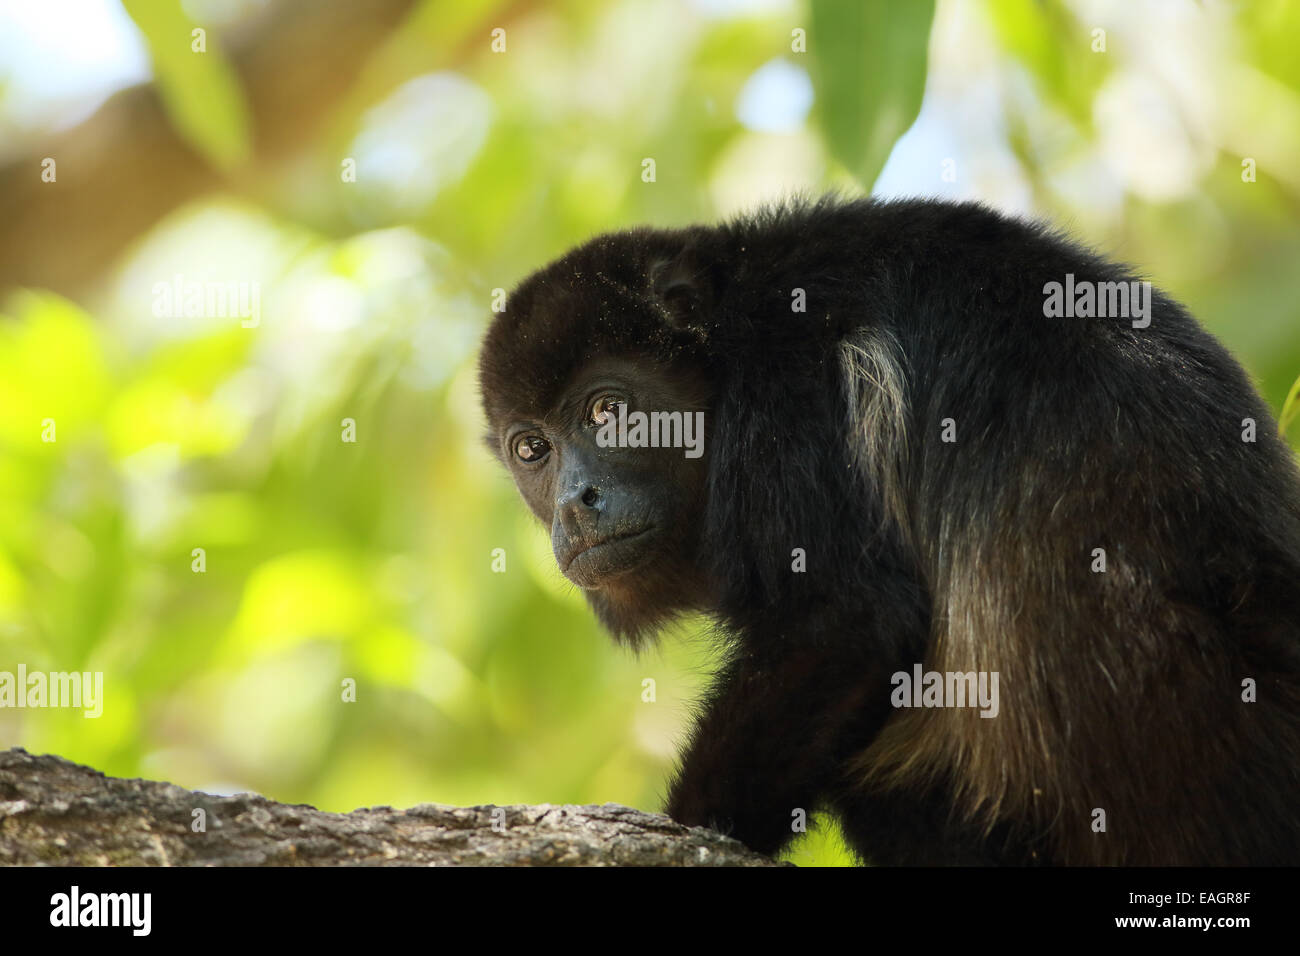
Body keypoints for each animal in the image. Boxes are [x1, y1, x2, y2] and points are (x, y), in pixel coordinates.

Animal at [477, 195, 1300, 865]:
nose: (575, 501)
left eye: (607, 410)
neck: (726, 342)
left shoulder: (791, 387)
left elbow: (846, 620)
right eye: (533, 449)